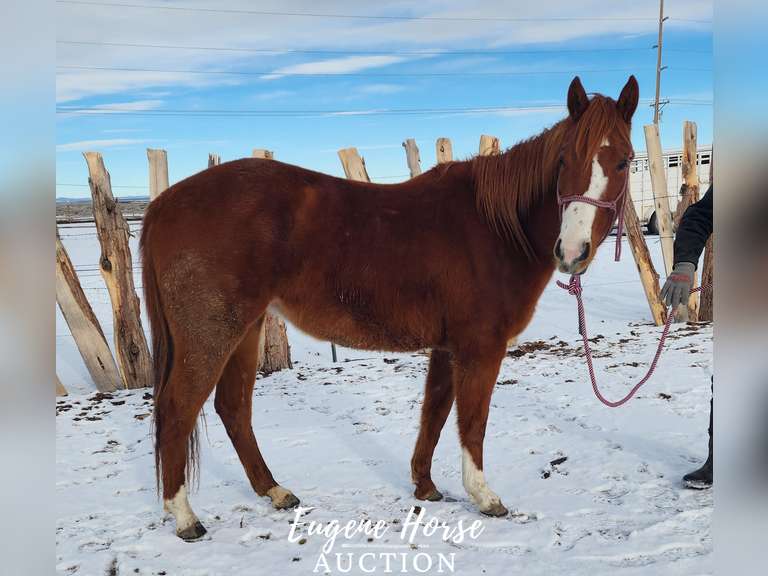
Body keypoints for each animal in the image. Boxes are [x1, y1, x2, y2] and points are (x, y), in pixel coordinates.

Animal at [141, 75, 639, 540]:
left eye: (623, 161)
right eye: (564, 160)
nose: (571, 251)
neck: (495, 228)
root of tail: (163, 203)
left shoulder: (447, 347)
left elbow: (435, 413)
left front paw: (425, 487)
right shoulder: (480, 347)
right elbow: (472, 420)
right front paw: (484, 497)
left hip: (246, 328)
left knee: (233, 408)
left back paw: (275, 492)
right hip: (212, 331)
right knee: (178, 409)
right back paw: (185, 517)